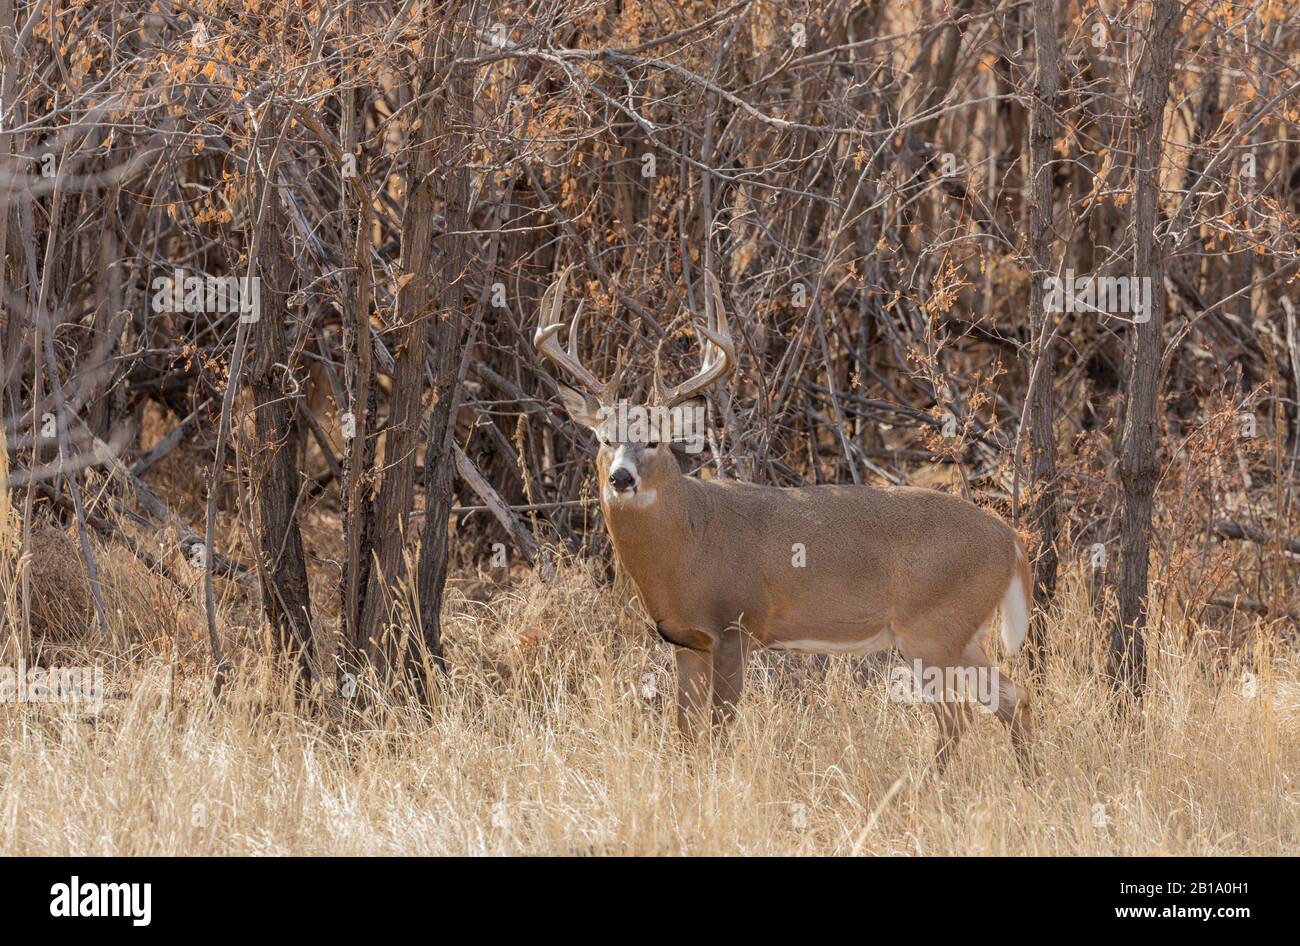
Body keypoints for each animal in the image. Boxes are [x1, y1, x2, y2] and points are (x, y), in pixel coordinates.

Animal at [534, 266, 1036, 776]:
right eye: (603, 438)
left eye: (655, 440)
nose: (621, 477)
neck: (689, 542)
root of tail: (1010, 539)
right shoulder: (686, 642)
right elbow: (685, 734)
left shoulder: (736, 626)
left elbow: (719, 729)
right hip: (964, 632)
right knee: (1013, 696)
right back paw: (1027, 778)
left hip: (932, 627)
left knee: (959, 716)